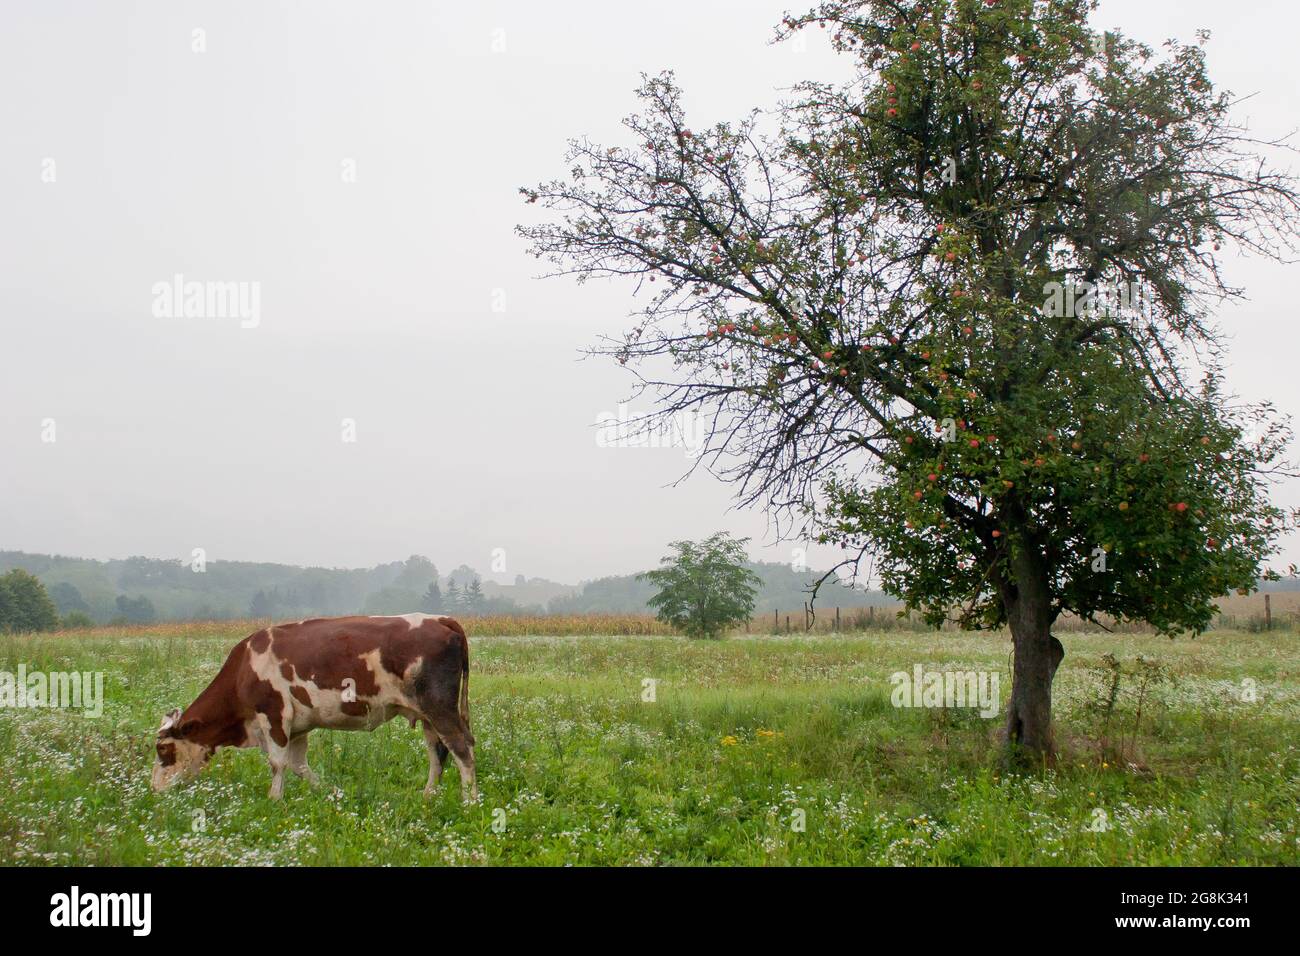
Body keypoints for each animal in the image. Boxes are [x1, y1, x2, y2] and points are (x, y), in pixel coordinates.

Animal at [150, 613, 477, 802]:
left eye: (163, 750)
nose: (154, 789)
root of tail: (440, 618)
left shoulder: (274, 714)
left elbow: (277, 763)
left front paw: (274, 800)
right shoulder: (298, 725)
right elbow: (298, 765)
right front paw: (330, 792)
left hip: (439, 707)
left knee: (461, 748)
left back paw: (469, 802)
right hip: (427, 714)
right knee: (438, 753)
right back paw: (428, 797)